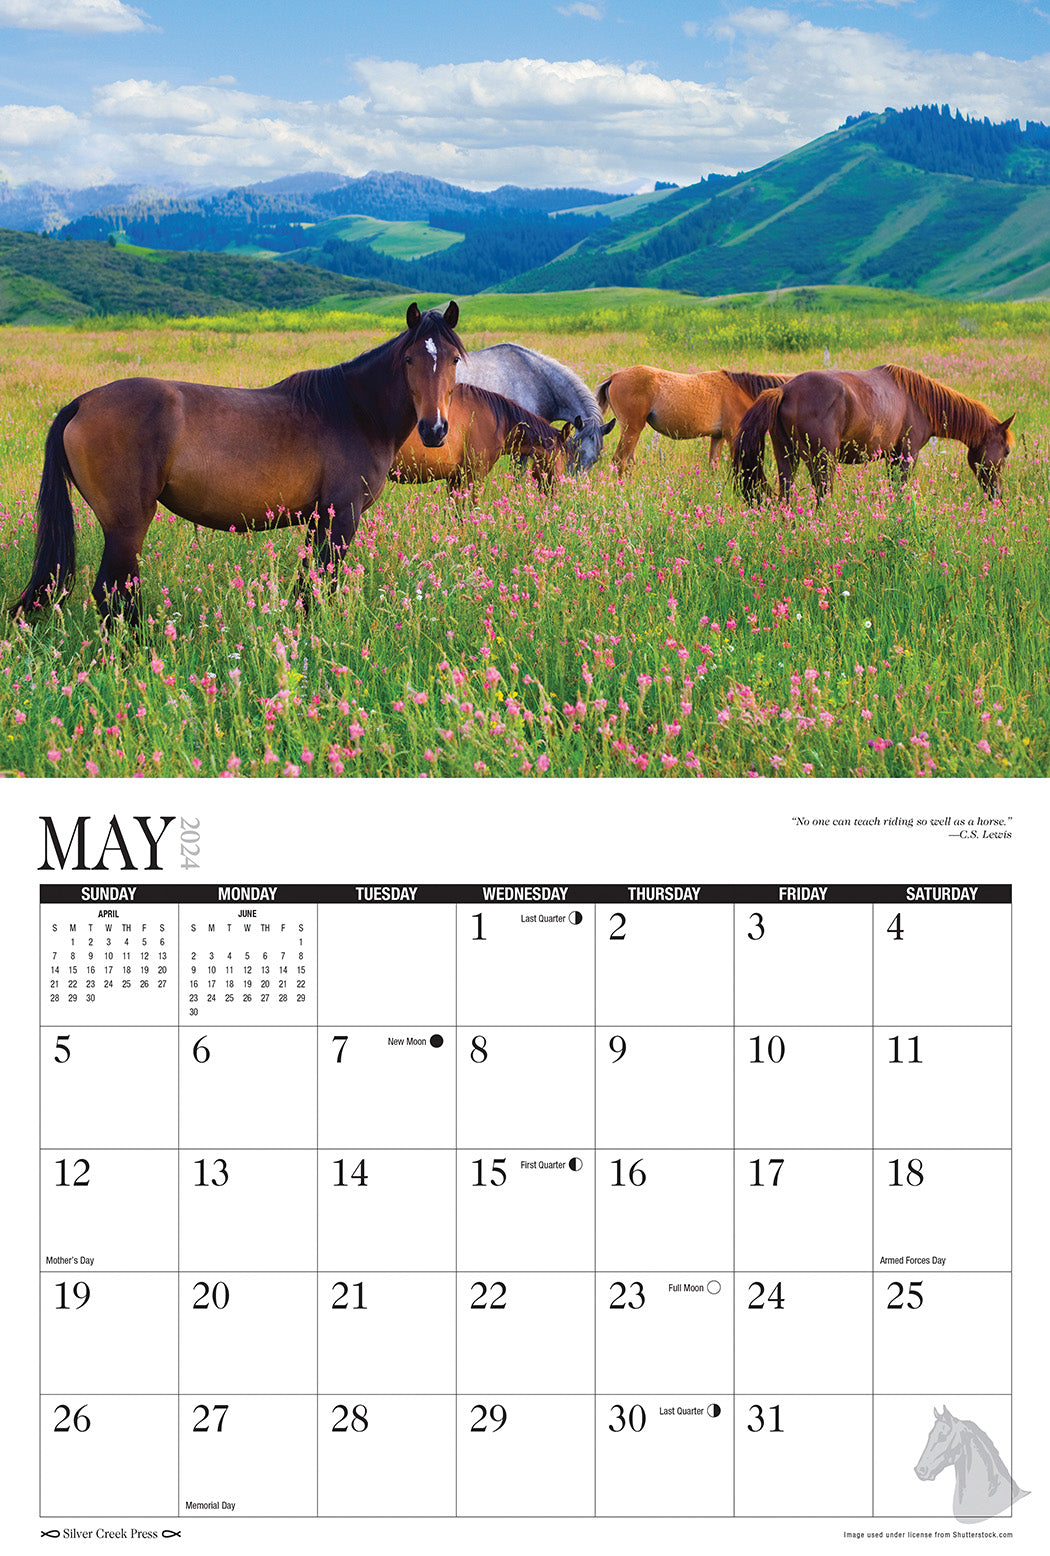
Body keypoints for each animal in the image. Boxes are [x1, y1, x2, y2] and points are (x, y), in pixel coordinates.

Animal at [12, 301, 465, 625]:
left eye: (454, 359)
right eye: (409, 360)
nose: (434, 429)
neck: (353, 410)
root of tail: (83, 402)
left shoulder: (318, 517)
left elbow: (307, 585)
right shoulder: (341, 513)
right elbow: (322, 583)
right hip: (126, 525)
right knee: (114, 591)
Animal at [595, 366, 791, 476]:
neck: (742, 390)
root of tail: (614, 376)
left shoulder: (718, 437)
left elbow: (713, 466)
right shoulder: (733, 435)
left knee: (628, 461)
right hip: (632, 429)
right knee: (620, 460)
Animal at [732, 363, 1015, 504]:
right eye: (1007, 451)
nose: (997, 496)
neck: (919, 400)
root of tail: (784, 391)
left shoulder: (892, 457)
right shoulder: (907, 454)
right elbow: (901, 490)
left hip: (786, 458)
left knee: (787, 497)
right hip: (821, 460)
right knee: (822, 497)